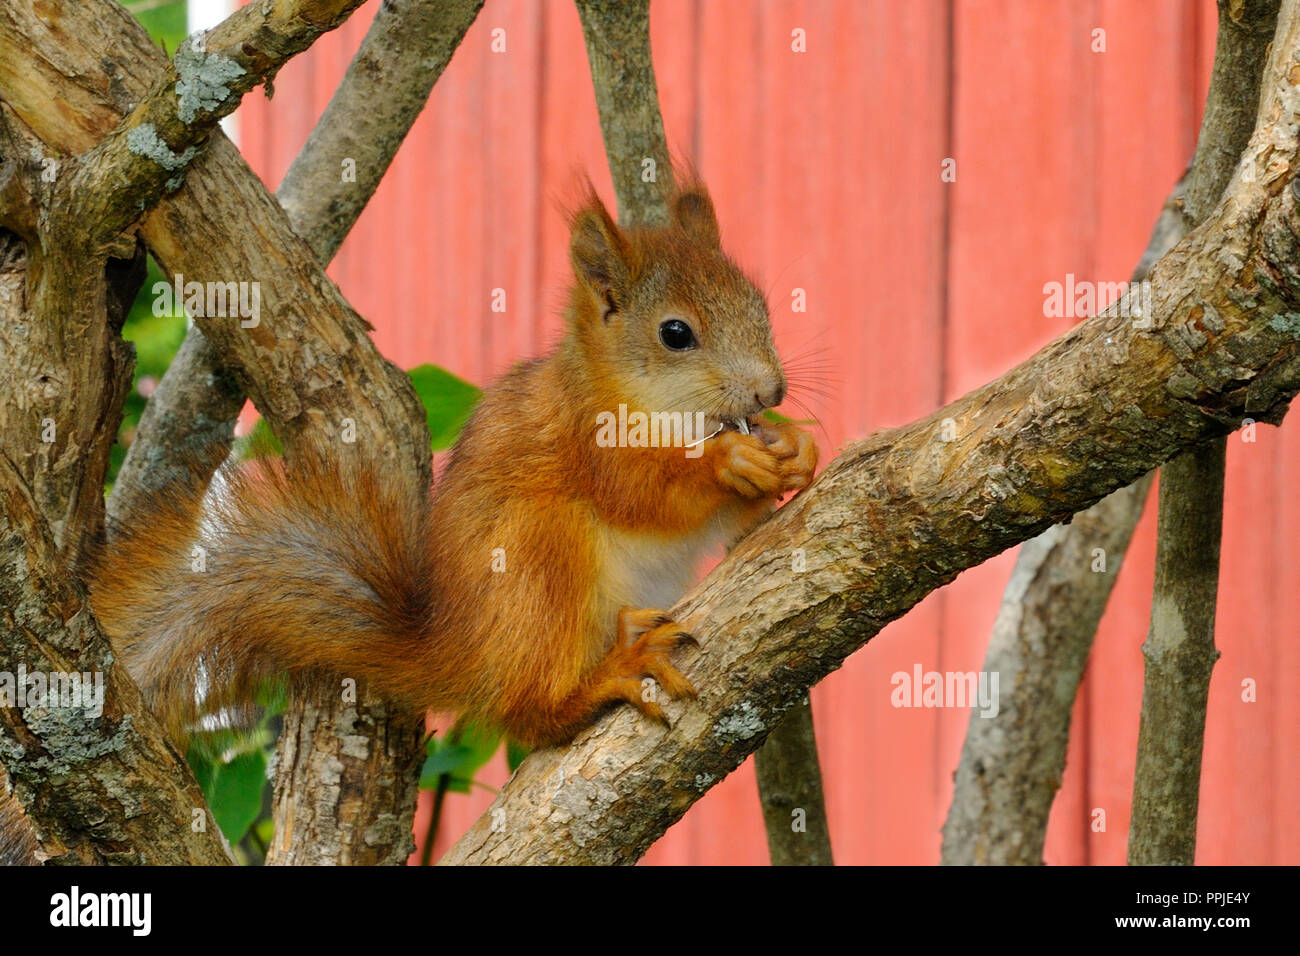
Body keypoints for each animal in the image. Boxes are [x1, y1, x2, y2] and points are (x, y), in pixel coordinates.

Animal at [87, 180, 818, 748]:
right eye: (675, 334)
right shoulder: (580, 436)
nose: (771, 391)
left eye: (760, 304)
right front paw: (729, 459)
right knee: (530, 713)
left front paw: (792, 450)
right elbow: (640, 491)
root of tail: (455, 651)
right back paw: (602, 678)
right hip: (535, 558)